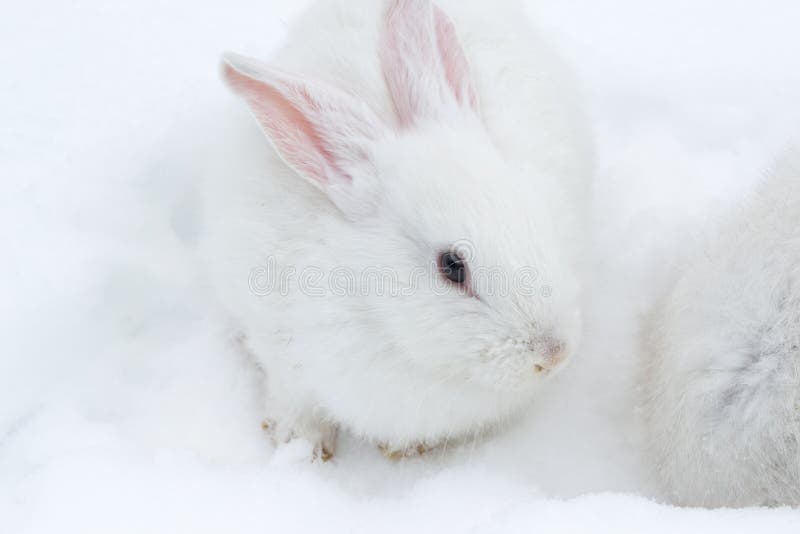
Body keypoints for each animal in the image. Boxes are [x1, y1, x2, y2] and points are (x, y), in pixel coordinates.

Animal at [203, 0, 591, 460]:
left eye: (536, 215)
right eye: (452, 266)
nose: (554, 354)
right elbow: (295, 399)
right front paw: (301, 448)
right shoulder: (280, 348)